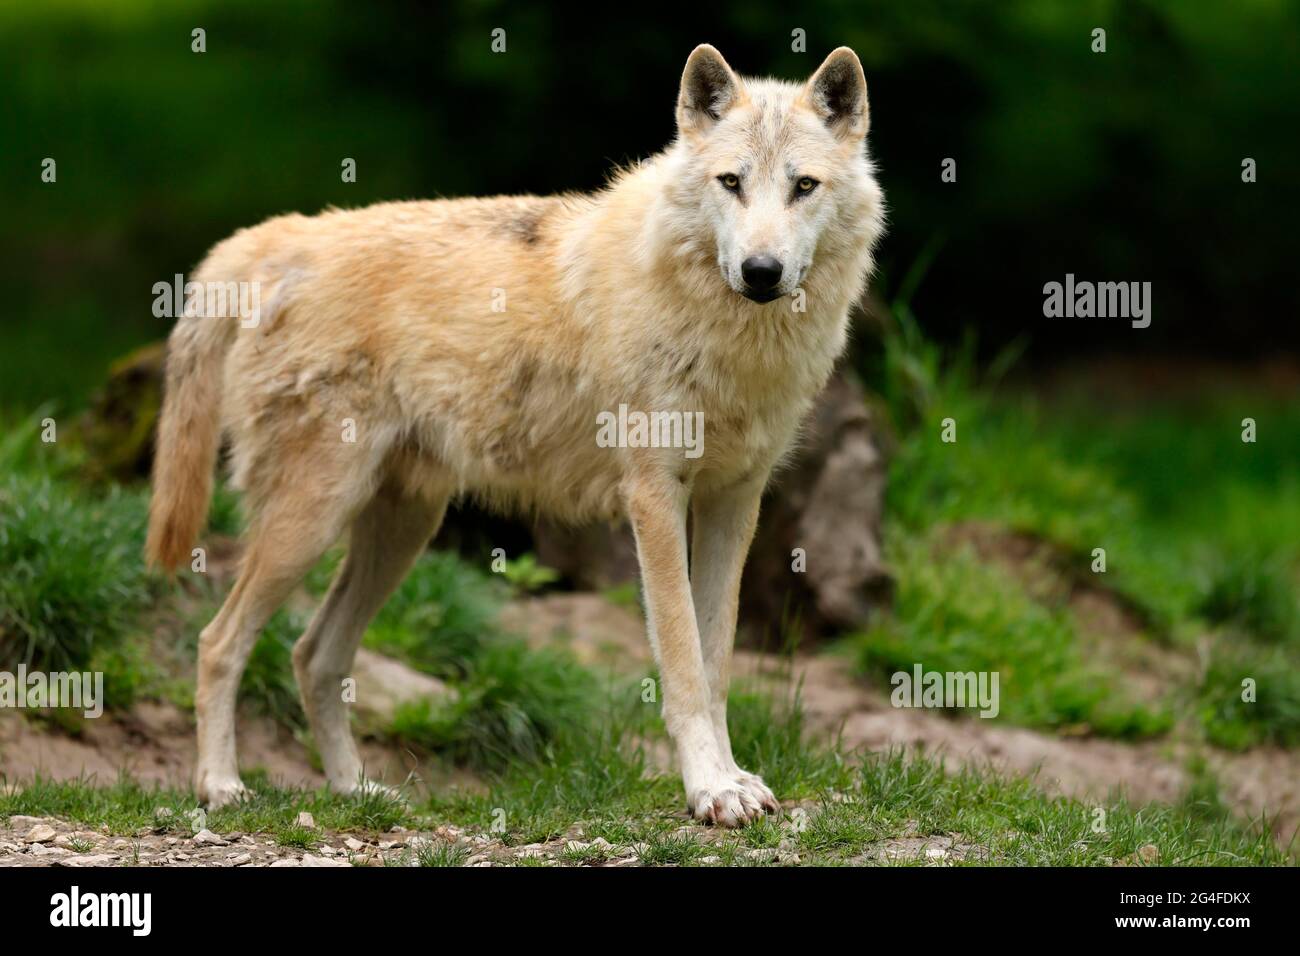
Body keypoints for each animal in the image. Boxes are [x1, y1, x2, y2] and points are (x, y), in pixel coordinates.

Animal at [146, 44, 885, 826]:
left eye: (803, 186)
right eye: (732, 182)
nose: (761, 271)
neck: (732, 337)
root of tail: (278, 237)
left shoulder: (734, 501)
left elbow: (715, 667)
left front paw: (733, 779)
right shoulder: (654, 497)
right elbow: (683, 665)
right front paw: (708, 789)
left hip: (401, 529)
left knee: (313, 655)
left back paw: (357, 790)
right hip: (310, 523)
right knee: (219, 642)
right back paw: (220, 786)